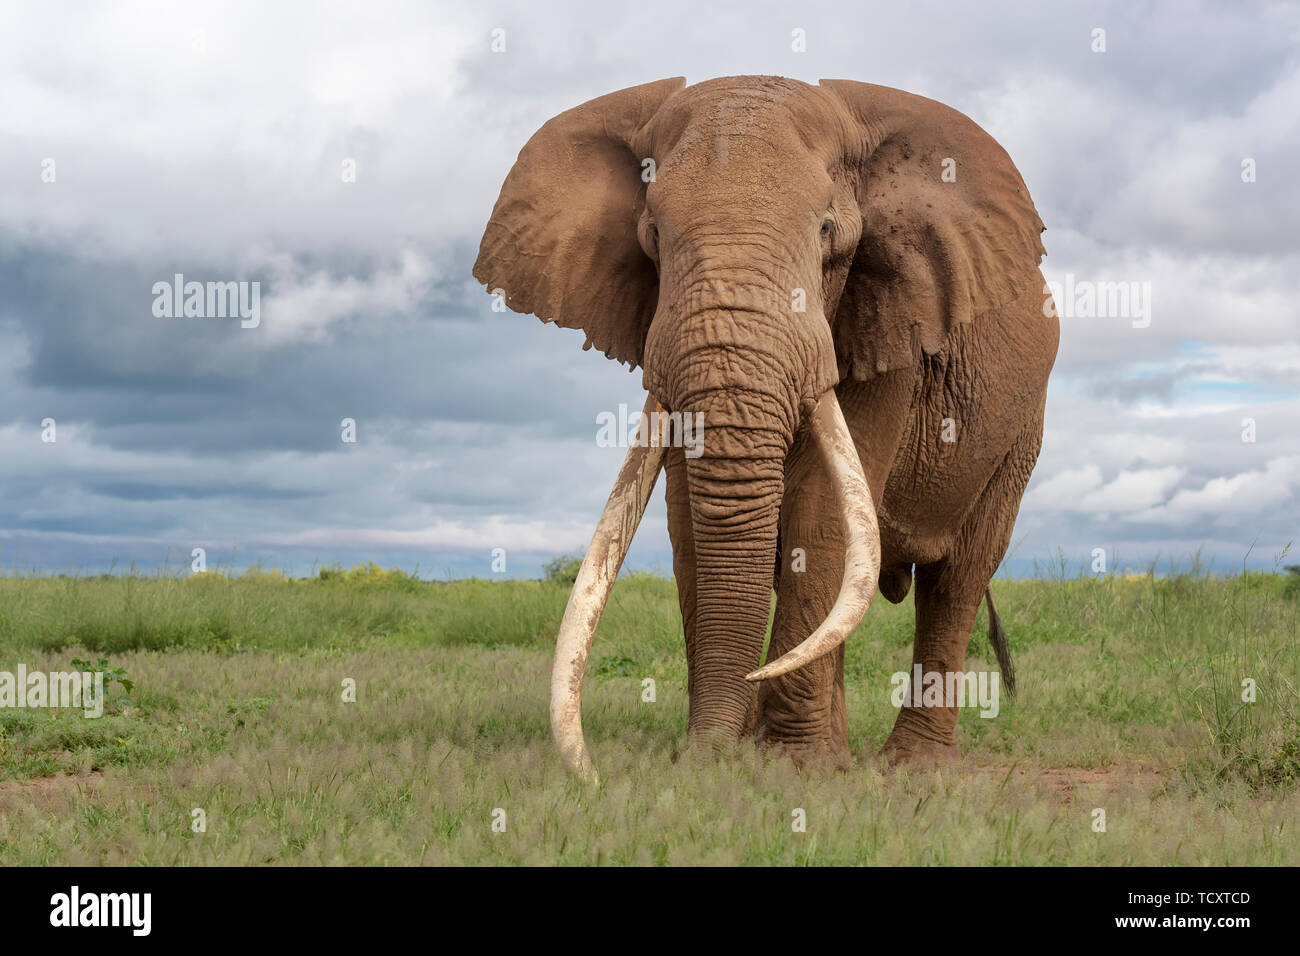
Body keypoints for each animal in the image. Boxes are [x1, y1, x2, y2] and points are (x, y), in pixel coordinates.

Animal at [475, 76, 1058, 782]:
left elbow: (821, 514)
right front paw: (749, 761)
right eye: (652, 237)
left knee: (958, 576)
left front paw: (792, 768)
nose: (703, 756)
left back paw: (910, 768)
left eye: (829, 233)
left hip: (1021, 429)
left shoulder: (891, 331)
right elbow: (689, 518)